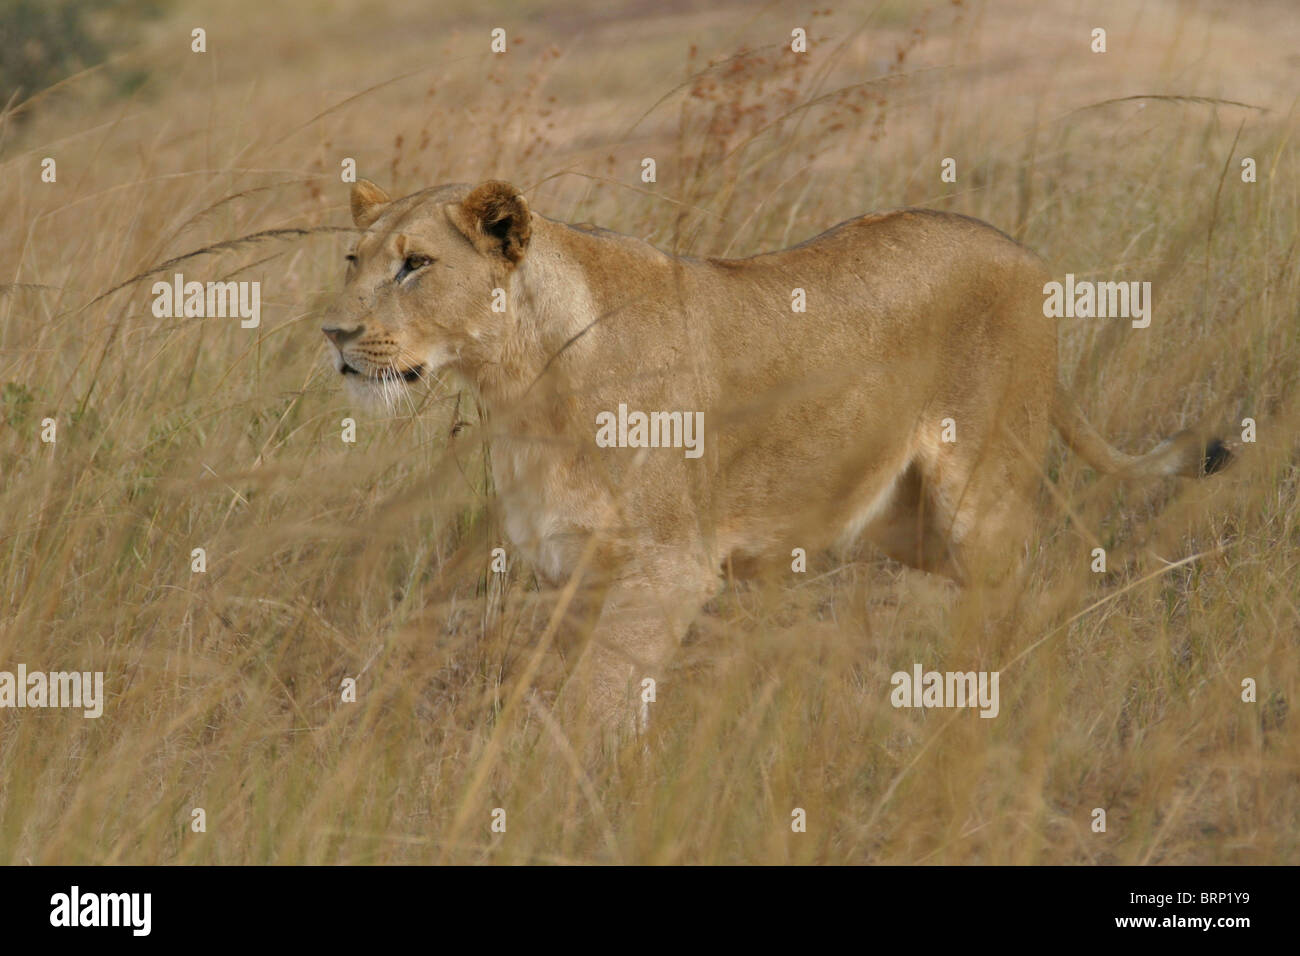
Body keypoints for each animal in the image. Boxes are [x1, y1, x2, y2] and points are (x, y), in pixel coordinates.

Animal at [321, 178, 1230, 728]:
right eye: (354, 260)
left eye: (416, 265)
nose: (333, 333)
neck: (517, 382)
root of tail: (1024, 251)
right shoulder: (573, 570)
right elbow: (581, 693)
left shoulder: (669, 565)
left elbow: (593, 703)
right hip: (906, 522)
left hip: (981, 495)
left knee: (1020, 588)